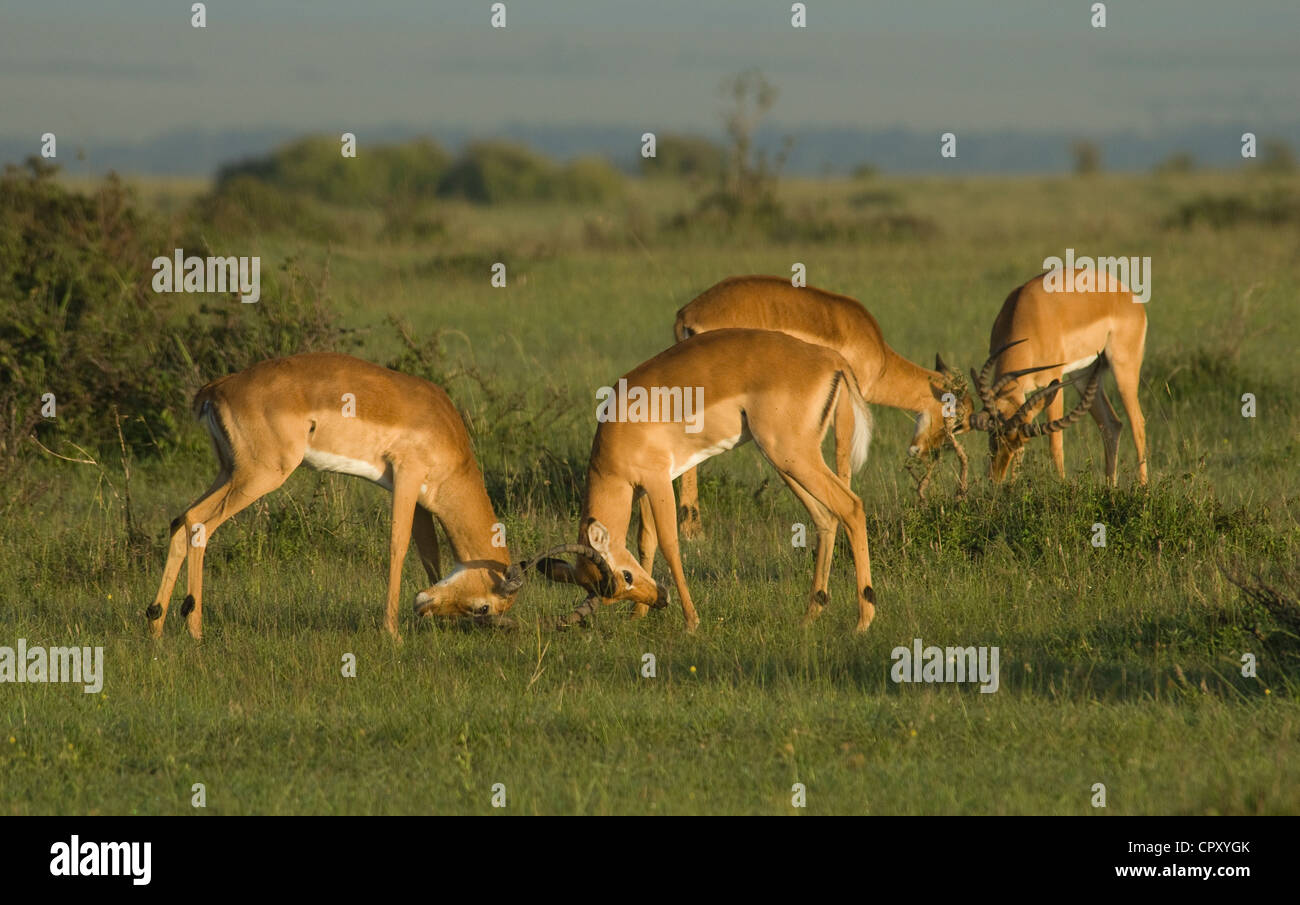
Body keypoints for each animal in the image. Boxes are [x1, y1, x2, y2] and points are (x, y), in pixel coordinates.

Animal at [145, 352, 540, 641]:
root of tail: (216, 389)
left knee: (181, 520)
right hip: (260, 475)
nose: (422, 606)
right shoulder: (407, 477)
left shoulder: (422, 501)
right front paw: (392, 632)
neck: (444, 430)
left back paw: (156, 626)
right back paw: (194, 629)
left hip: (228, 472)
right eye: (484, 607)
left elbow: (430, 555)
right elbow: (397, 547)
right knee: (198, 523)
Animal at [543, 328, 879, 634]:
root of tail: (830, 359)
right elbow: (646, 541)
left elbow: (670, 543)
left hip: (791, 457)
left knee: (851, 506)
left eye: (625, 576)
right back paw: (810, 615)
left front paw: (691, 621)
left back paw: (862, 621)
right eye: (608, 594)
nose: (661, 598)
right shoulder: (644, 488)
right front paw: (637, 616)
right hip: (788, 463)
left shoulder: (658, 481)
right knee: (826, 516)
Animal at [668, 275, 973, 542]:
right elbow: (843, 457)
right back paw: (693, 531)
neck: (879, 356)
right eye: (958, 421)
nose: (923, 451)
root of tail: (687, 314)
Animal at [966, 270, 1148, 485]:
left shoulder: (1054, 382)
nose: (995, 481)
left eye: (1019, 442)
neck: (1028, 315)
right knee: (1111, 425)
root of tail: (1128, 295)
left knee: (1138, 425)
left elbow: (1055, 444)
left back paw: (1143, 488)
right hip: (1084, 376)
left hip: (1123, 370)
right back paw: (1110, 486)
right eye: (993, 437)